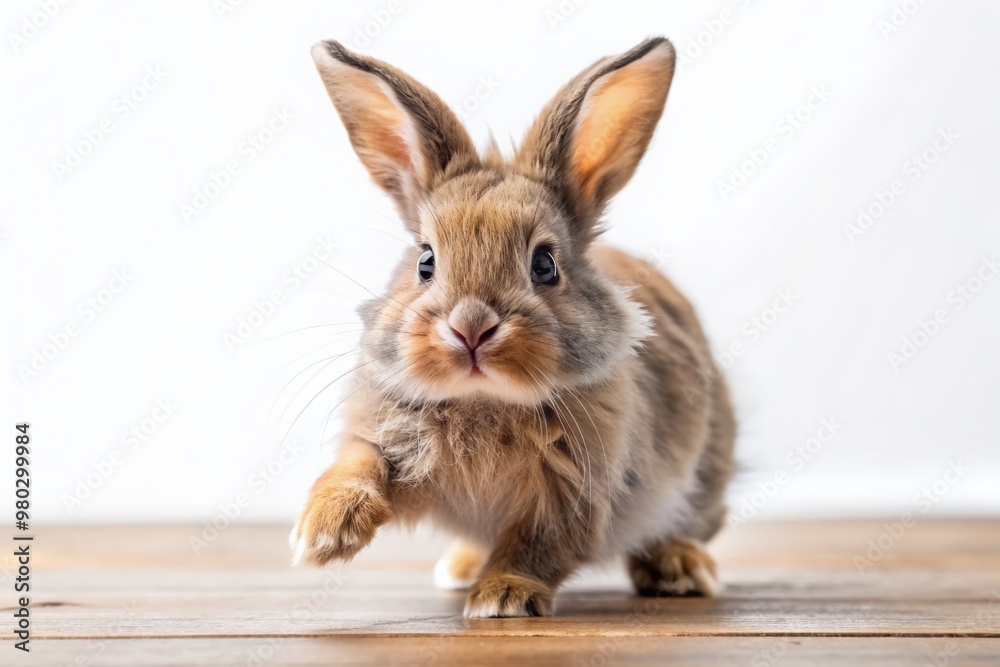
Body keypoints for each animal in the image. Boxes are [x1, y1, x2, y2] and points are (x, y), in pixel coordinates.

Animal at [291, 36, 735, 618]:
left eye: (545, 264)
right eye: (425, 262)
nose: (470, 328)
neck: (484, 400)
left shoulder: (575, 495)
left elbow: (536, 546)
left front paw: (501, 597)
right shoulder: (381, 435)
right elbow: (358, 464)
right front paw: (322, 532)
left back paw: (679, 569)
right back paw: (457, 567)